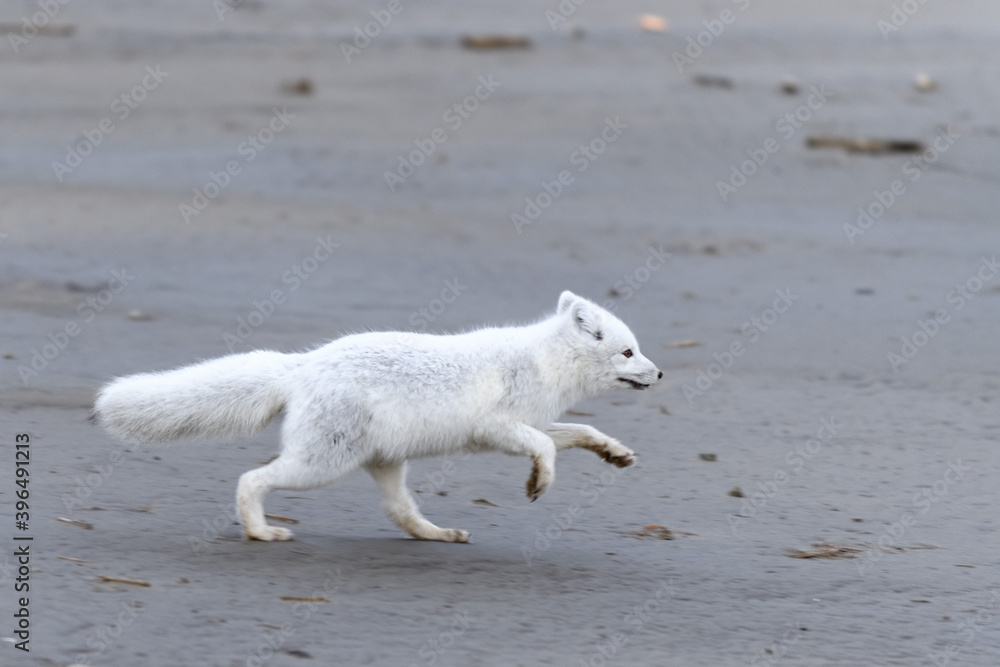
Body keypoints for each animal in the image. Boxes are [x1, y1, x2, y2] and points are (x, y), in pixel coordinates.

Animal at [92, 290, 662, 543]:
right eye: (628, 352)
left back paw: (438, 534)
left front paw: (615, 453)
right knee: (250, 479)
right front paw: (539, 483)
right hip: (321, 463)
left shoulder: (534, 423)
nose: (659, 373)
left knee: (399, 513)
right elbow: (545, 449)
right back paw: (260, 532)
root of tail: (305, 363)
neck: (544, 362)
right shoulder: (498, 429)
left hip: (382, 462)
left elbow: (581, 430)